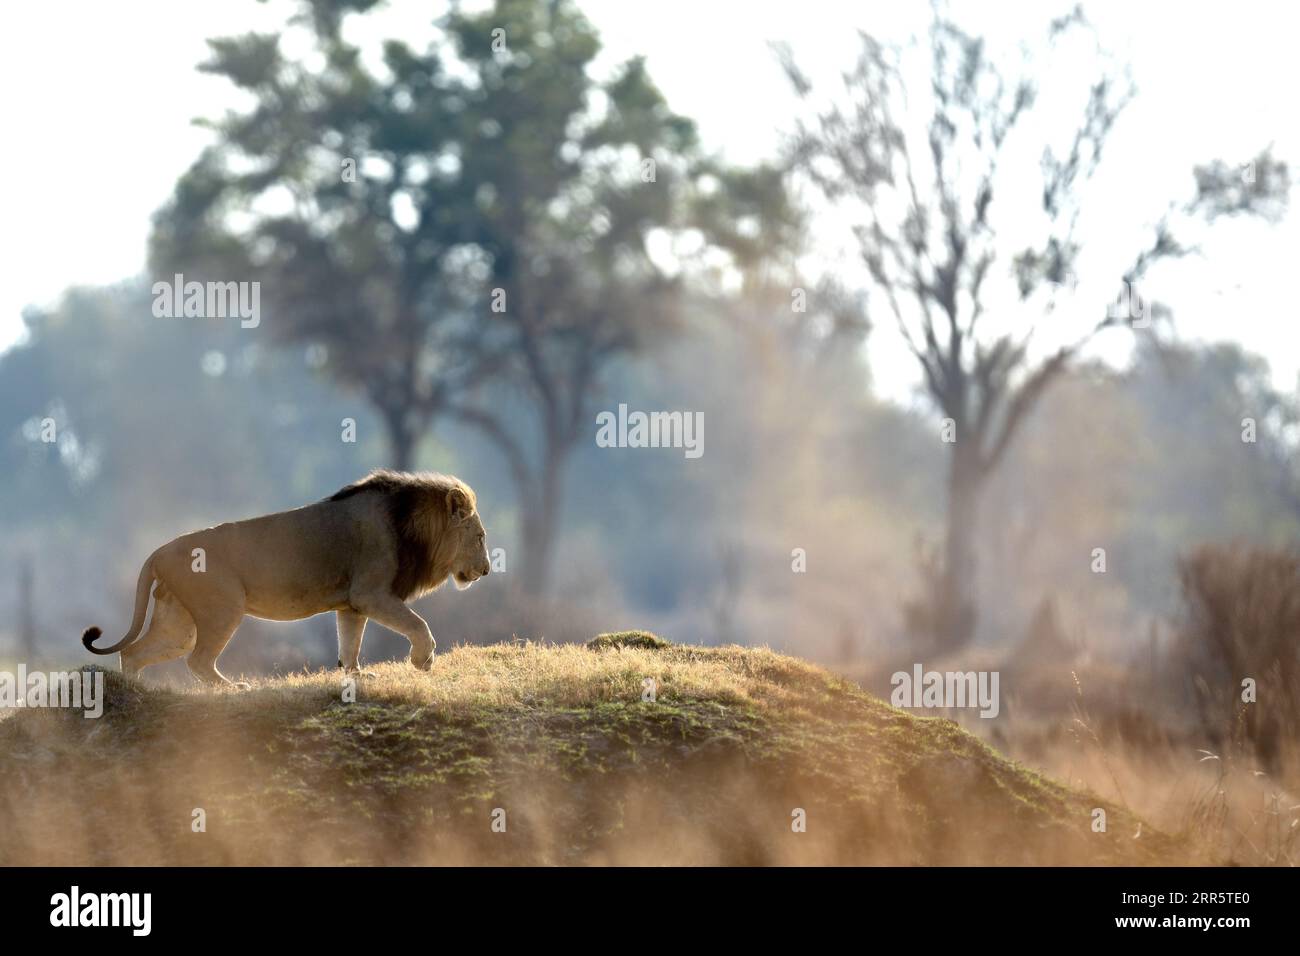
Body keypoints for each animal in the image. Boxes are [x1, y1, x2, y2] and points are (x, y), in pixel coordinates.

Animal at [81, 470, 491, 687]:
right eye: (481, 537)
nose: (487, 570)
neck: (410, 523)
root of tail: (159, 552)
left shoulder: (353, 604)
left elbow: (350, 645)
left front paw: (357, 676)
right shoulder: (372, 593)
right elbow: (419, 625)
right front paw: (423, 661)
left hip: (178, 622)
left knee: (135, 653)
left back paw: (138, 693)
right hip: (222, 608)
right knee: (196, 661)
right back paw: (232, 689)